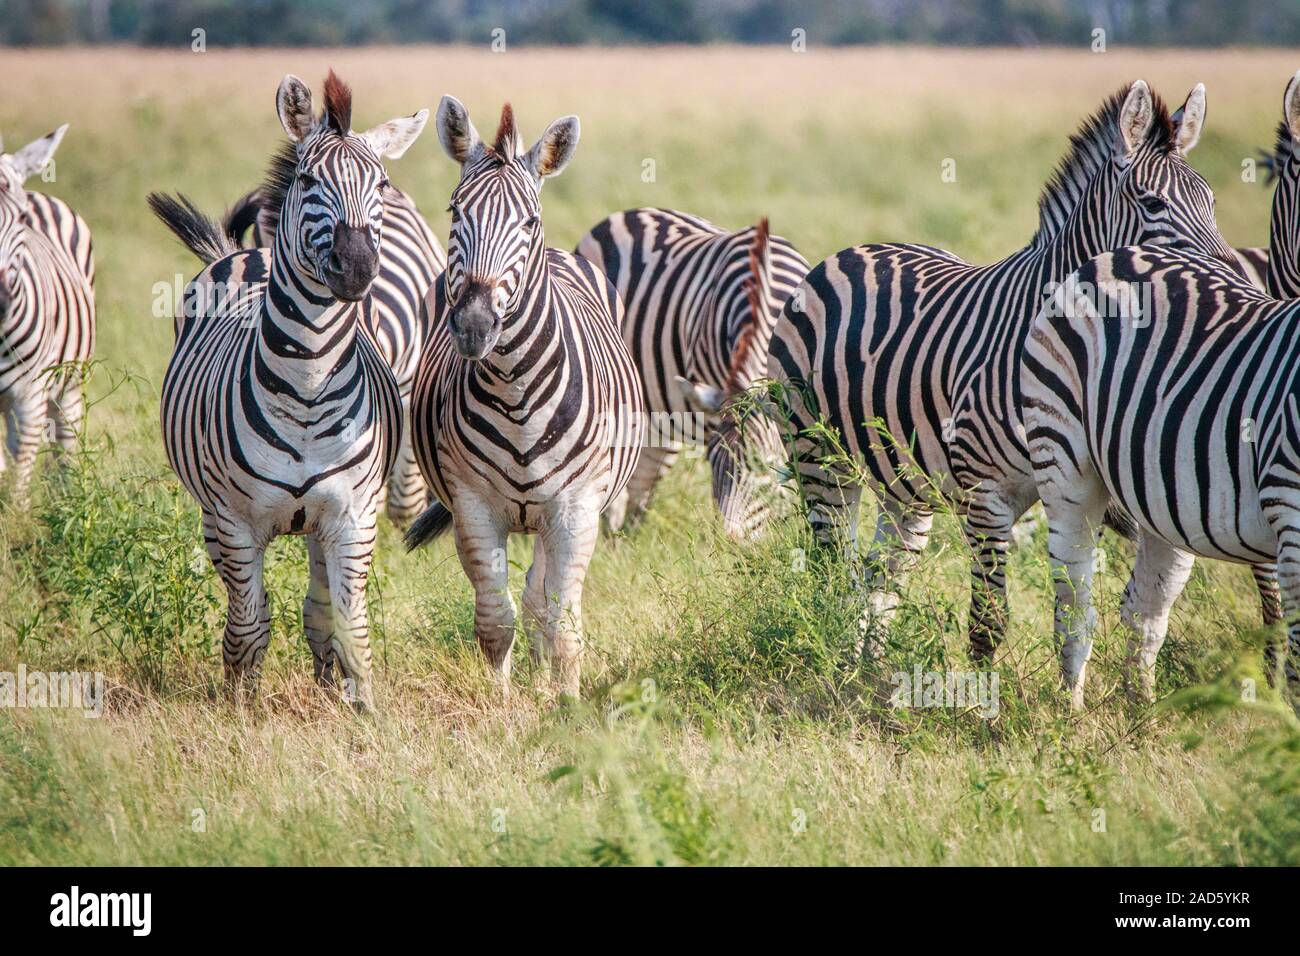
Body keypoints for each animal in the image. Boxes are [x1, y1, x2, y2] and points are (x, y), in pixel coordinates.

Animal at [0, 125, 95, 500]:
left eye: (22, 219)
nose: (0, 298)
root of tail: (39, 192)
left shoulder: (30, 393)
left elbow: (20, 470)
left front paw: (15, 512)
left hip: (69, 384)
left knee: (65, 449)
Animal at [405, 98, 643, 698]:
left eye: (528, 221)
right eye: (454, 211)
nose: (473, 325)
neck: (515, 394)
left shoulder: (576, 509)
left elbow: (562, 621)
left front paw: (565, 701)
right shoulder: (472, 505)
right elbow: (495, 619)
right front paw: (503, 701)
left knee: (545, 600)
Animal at [767, 80, 1241, 662]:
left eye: (1212, 202)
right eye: (1154, 203)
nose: (1235, 277)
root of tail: (853, 250)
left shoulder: (1086, 488)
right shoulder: (987, 493)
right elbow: (987, 624)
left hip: (905, 484)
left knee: (884, 576)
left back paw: (870, 672)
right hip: (818, 457)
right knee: (831, 568)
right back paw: (833, 665)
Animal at [1022, 69, 1300, 709]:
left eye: (1213, 202)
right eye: (1152, 203)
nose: (1237, 277)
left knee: (1146, 604)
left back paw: (1140, 708)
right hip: (1069, 466)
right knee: (1076, 598)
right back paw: (1072, 713)